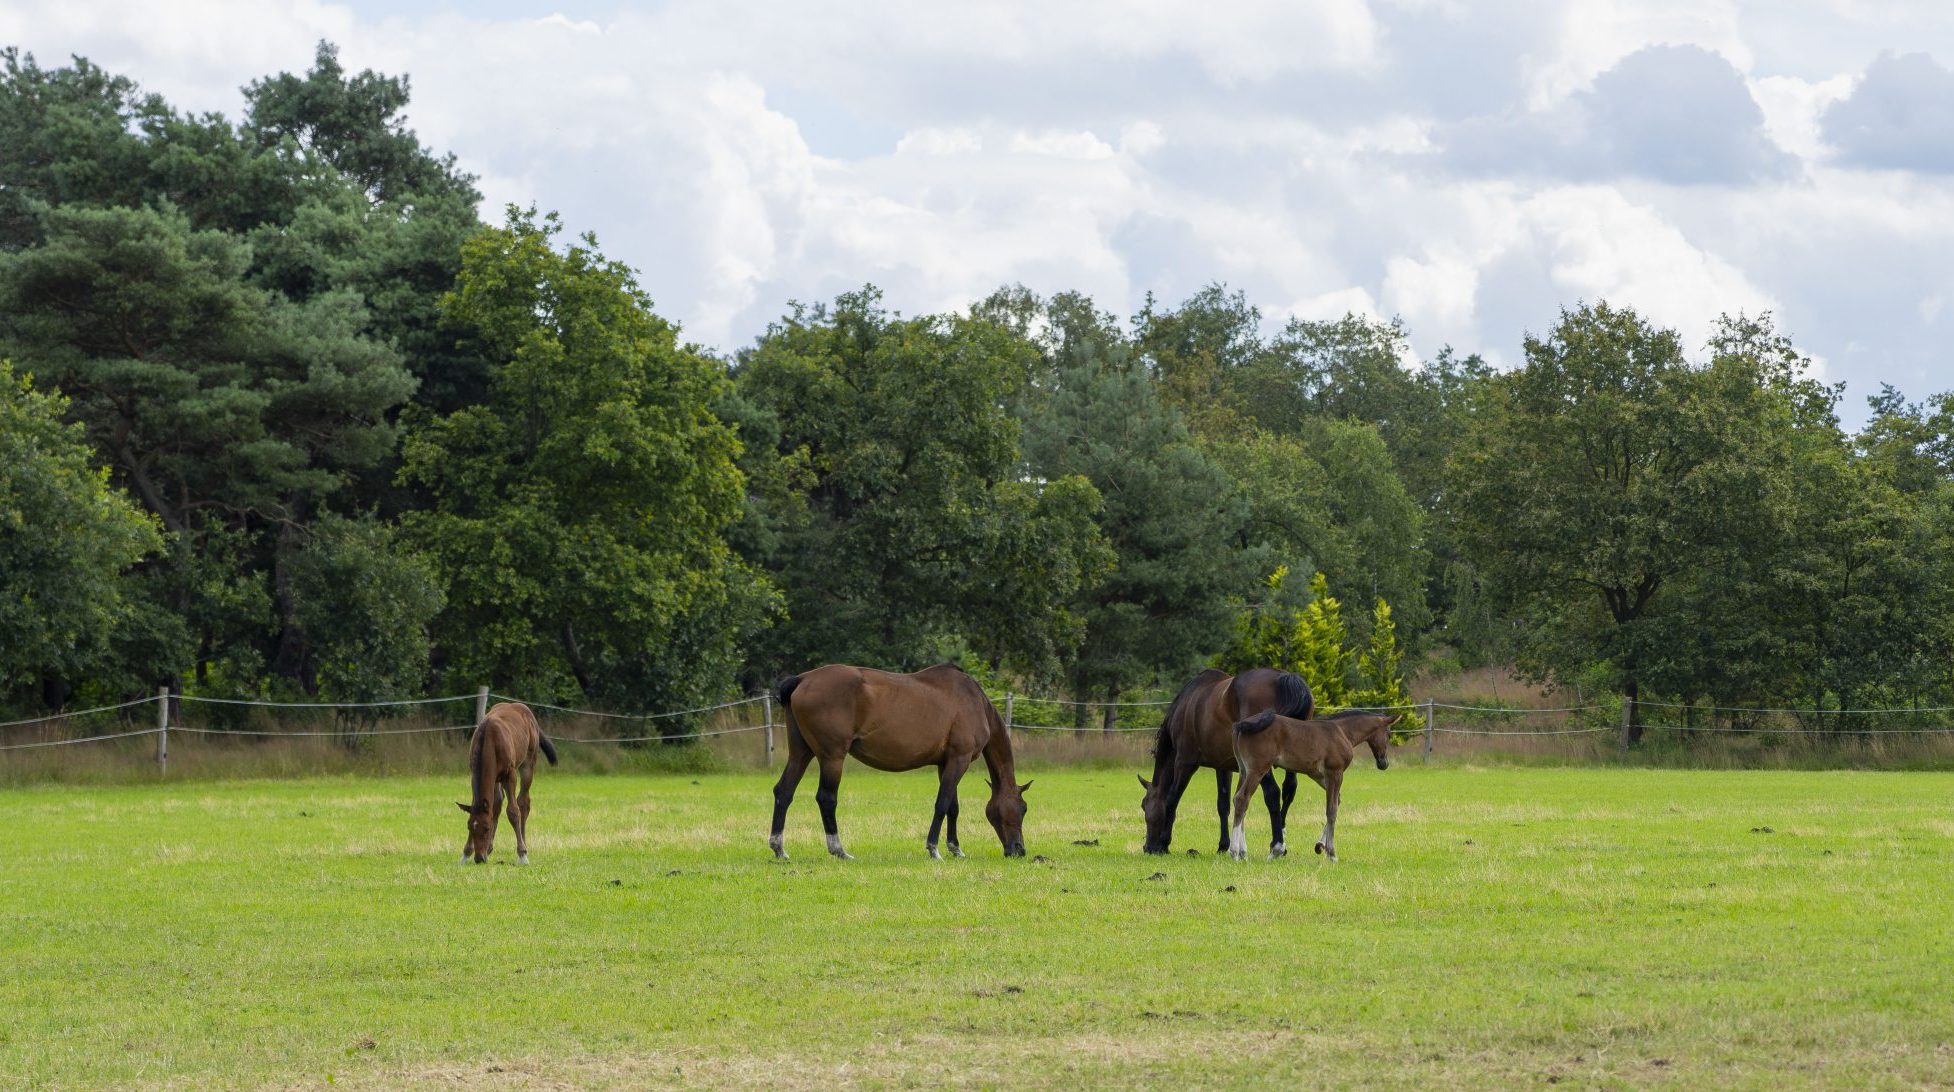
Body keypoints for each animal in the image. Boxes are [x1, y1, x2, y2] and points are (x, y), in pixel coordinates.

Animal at [456, 701, 557, 864]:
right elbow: (484, 806)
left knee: (523, 802)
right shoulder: (474, 775)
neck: (489, 739)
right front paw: (466, 854)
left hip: (528, 763)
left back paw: (524, 846)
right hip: (496, 779)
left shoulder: (510, 775)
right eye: (469, 827)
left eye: (487, 828)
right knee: (497, 803)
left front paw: (522, 854)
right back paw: (490, 848)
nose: (479, 858)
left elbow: (513, 811)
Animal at [771, 663, 1028, 860]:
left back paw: (779, 848)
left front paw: (956, 849)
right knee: (826, 798)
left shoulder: (946, 763)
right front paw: (934, 850)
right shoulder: (959, 759)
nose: (1019, 850)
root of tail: (802, 679)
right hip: (832, 757)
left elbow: (952, 807)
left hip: (801, 753)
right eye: (1023, 808)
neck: (974, 702)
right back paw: (839, 850)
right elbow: (942, 804)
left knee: (784, 791)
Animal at [1140, 668, 1313, 856]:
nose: (1148, 847)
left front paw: (1164, 843)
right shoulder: (1223, 767)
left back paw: (1277, 844)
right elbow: (1223, 805)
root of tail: (1284, 678)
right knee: (1289, 789)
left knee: (1273, 793)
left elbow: (1172, 797)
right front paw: (1223, 845)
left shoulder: (1185, 762)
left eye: (1144, 805)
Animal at [1228, 709, 1398, 862]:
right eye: (1389, 734)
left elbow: (1336, 802)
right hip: (1257, 769)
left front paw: (1320, 846)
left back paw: (1243, 852)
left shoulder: (1320, 777)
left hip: (1244, 770)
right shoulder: (1335, 773)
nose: (1384, 763)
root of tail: (1242, 724)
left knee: (1238, 800)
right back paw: (1235, 852)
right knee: (1242, 799)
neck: (1342, 732)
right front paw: (1332, 854)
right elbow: (1332, 810)